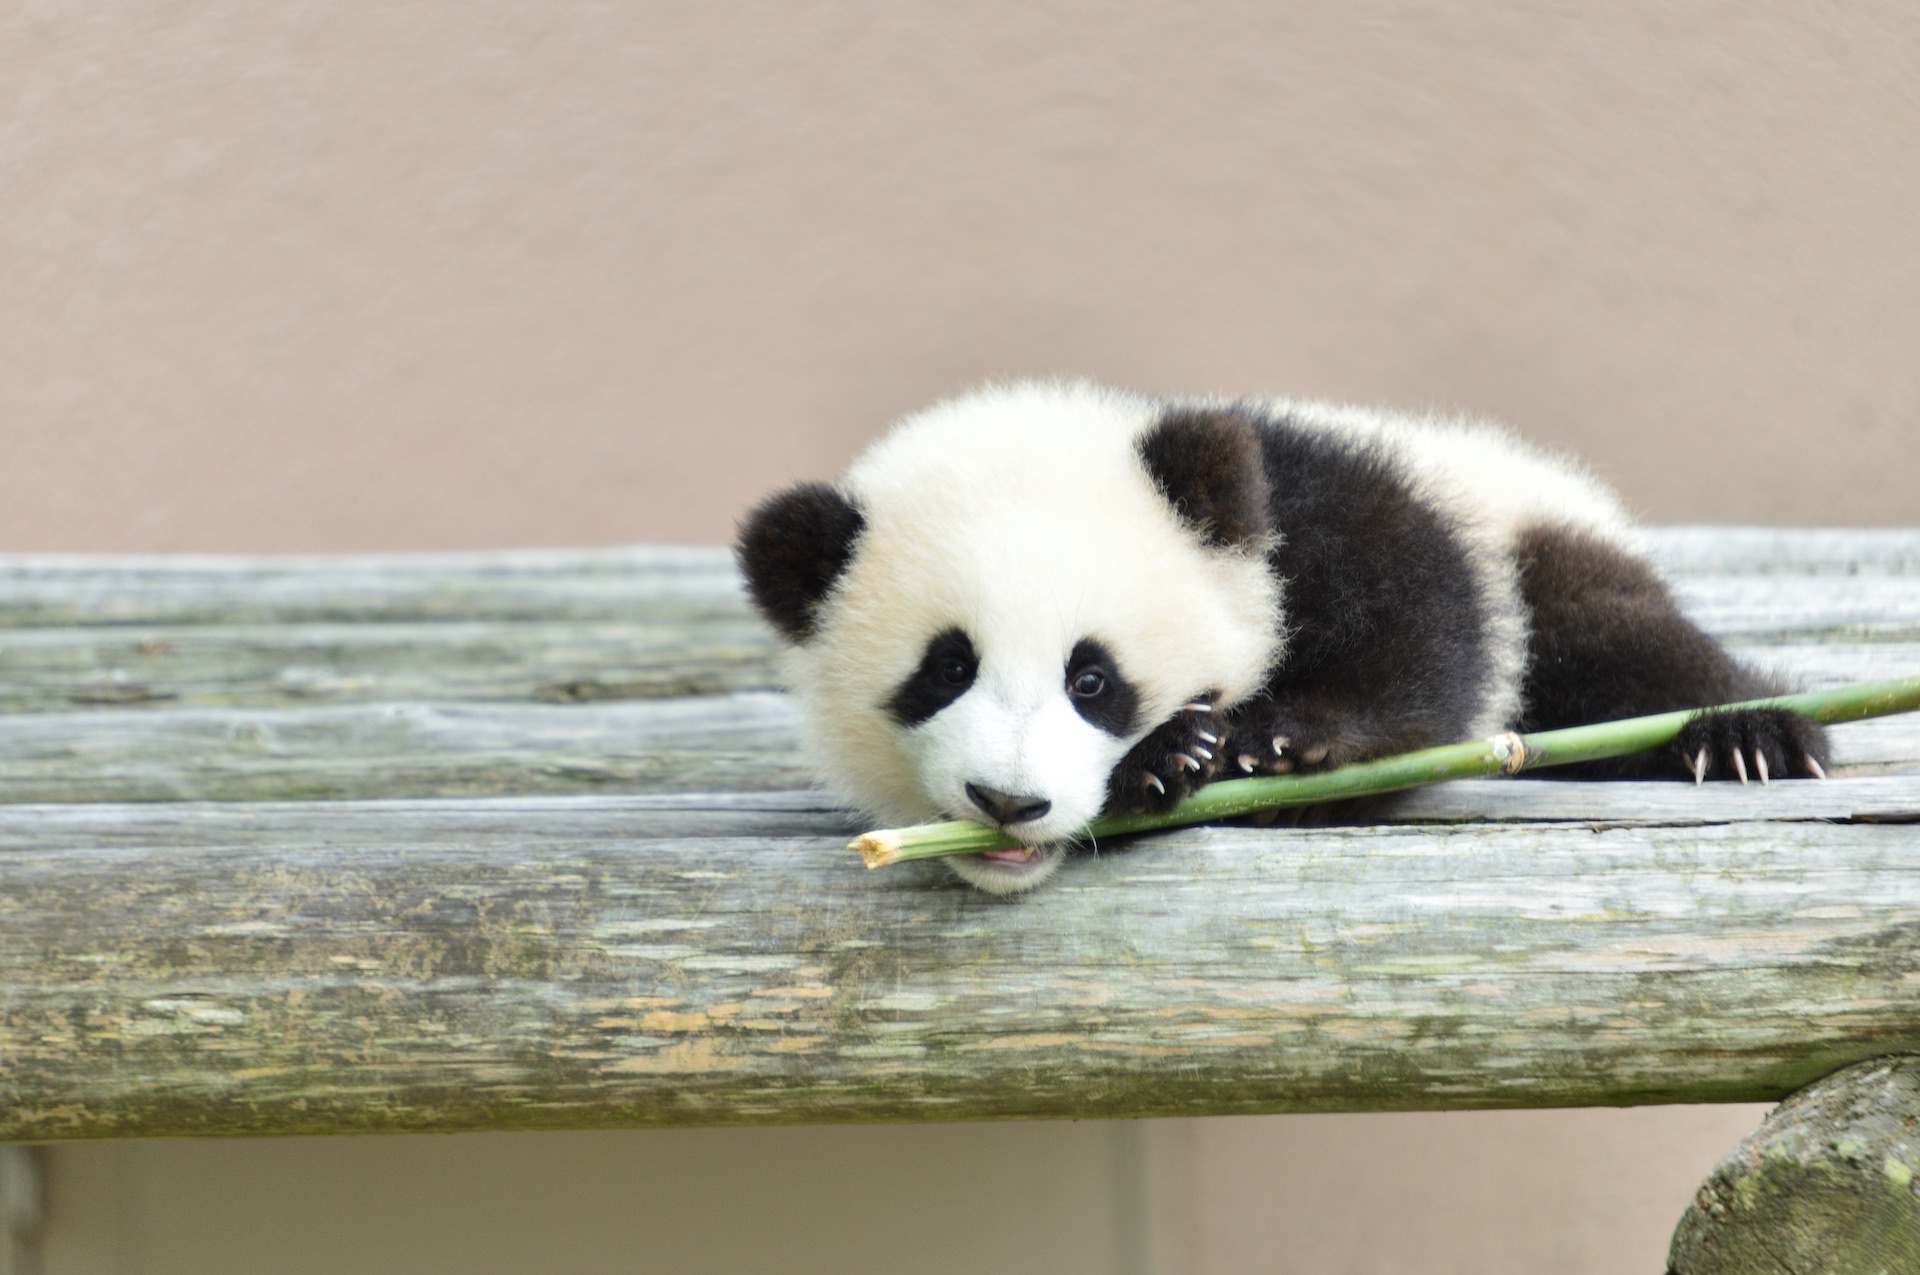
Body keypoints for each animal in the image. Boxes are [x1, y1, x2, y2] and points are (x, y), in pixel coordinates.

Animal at [735, 380, 1830, 895]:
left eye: (1093, 679)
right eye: (945, 671)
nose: (1008, 801)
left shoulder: (1311, 496)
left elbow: (1427, 624)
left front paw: (1260, 739)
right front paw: (1179, 756)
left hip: (1532, 530)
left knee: (1612, 643)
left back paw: (1746, 735)